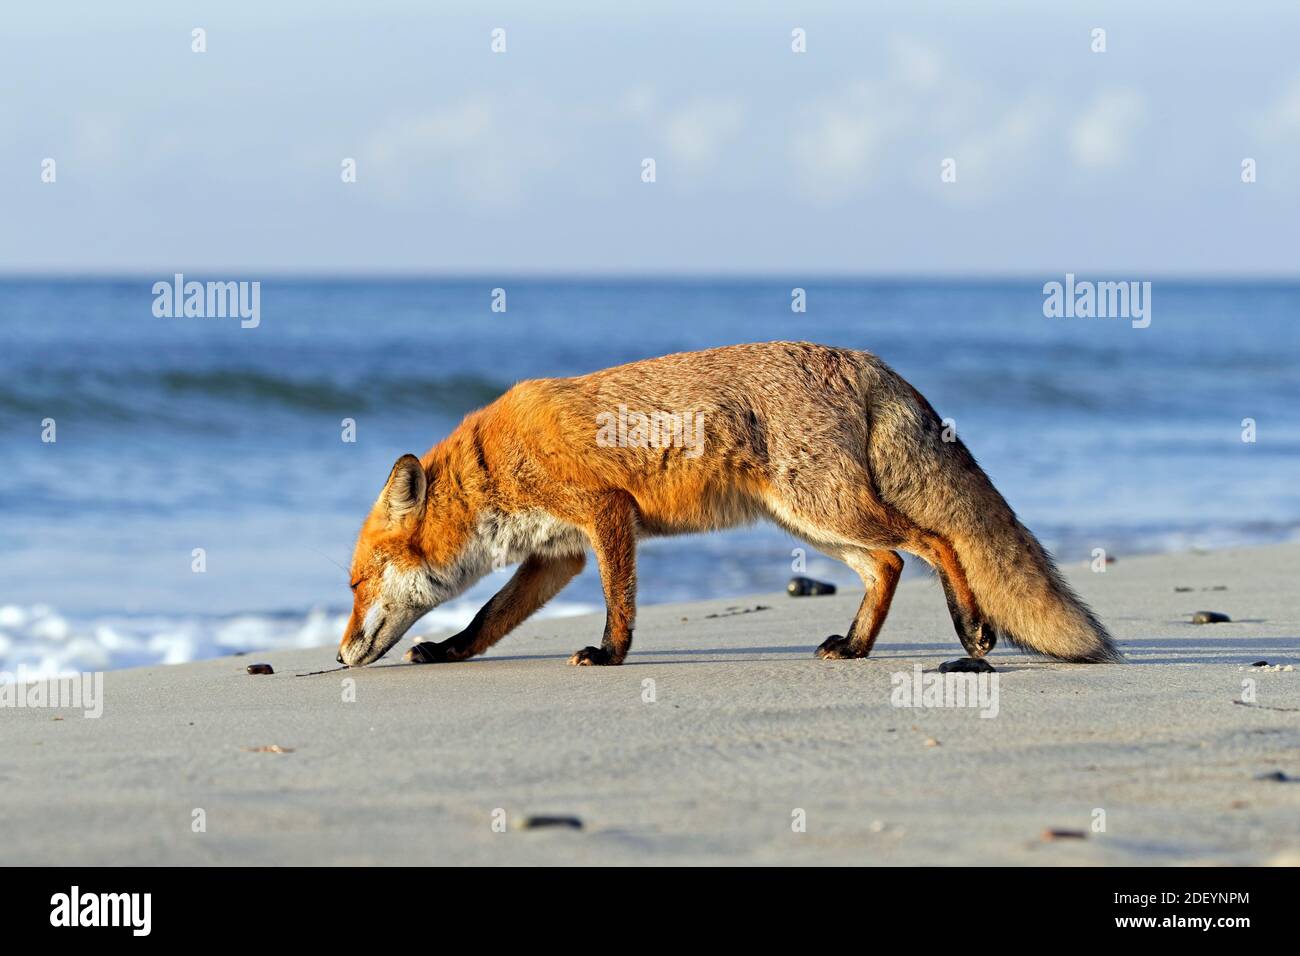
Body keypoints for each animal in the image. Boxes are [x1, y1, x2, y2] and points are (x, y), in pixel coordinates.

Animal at [335, 341, 1120, 668]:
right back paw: (855, 646)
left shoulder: (607, 512)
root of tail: (867, 359)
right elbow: (488, 620)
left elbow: (619, 603)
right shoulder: (557, 557)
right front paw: (448, 650)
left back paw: (971, 629)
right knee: (890, 565)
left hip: (826, 507)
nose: (340, 653)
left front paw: (610, 654)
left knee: (937, 543)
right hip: (810, 518)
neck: (491, 466)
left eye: (356, 583)